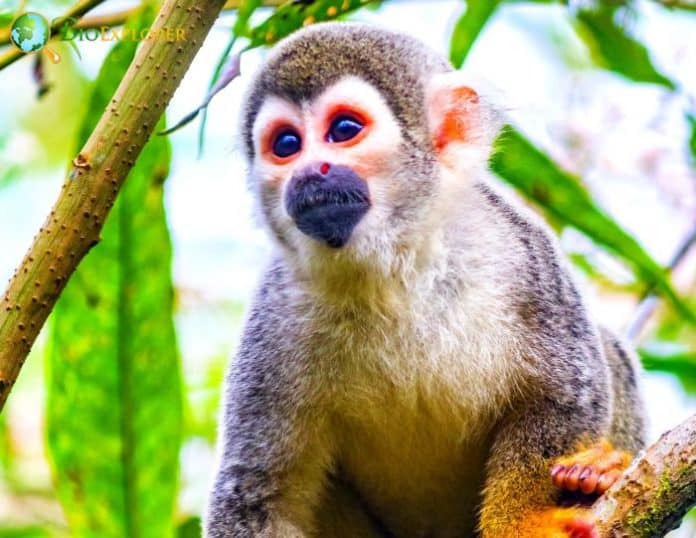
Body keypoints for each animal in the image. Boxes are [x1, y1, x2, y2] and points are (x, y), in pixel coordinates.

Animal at [205, 22, 645, 538]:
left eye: (344, 131)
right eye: (287, 145)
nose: (309, 173)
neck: (390, 270)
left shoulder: (520, 255)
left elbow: (562, 391)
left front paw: (522, 521)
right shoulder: (275, 317)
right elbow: (260, 493)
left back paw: (593, 477)